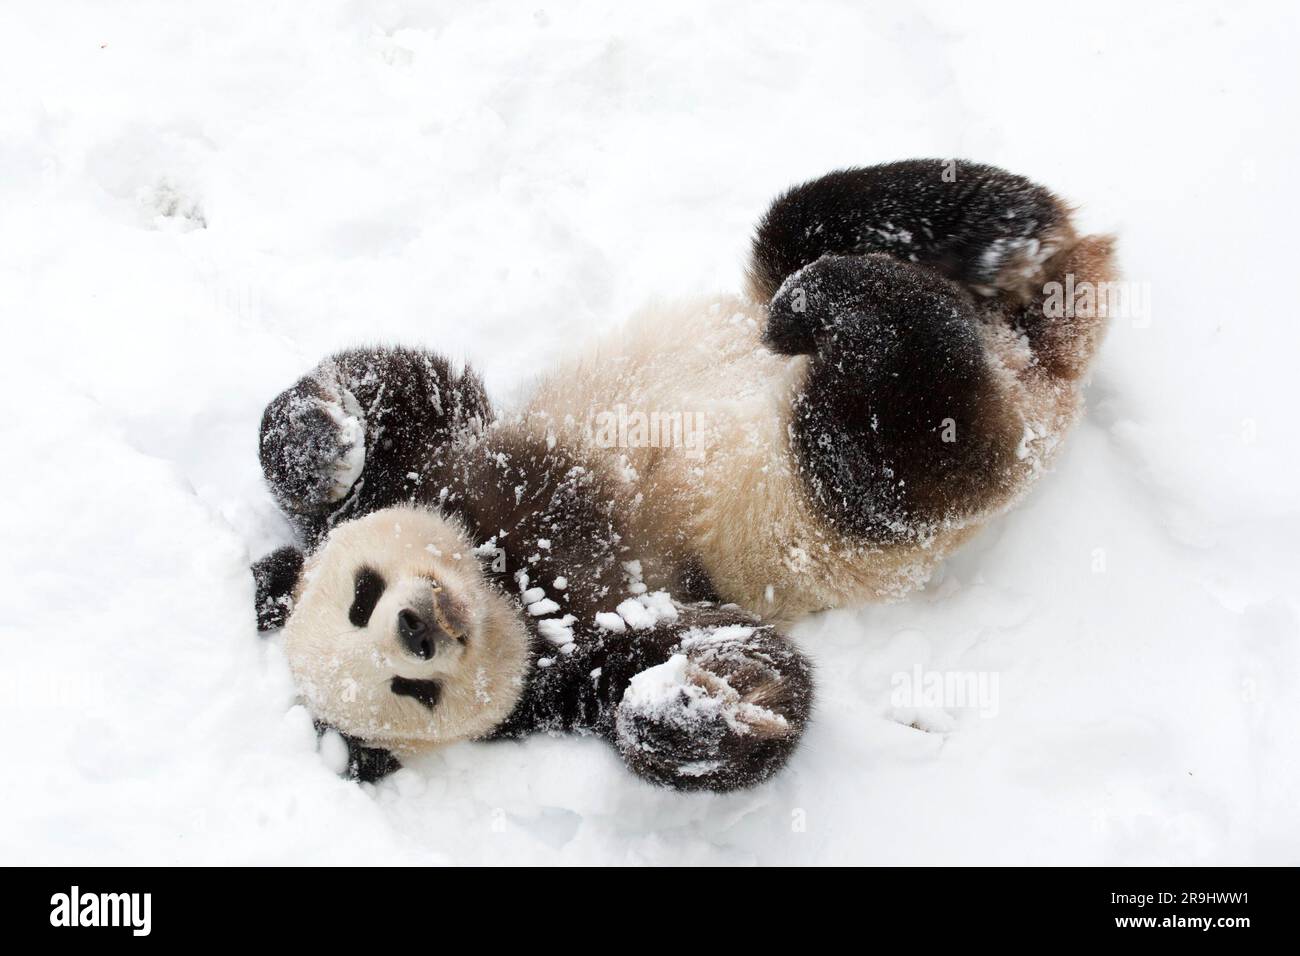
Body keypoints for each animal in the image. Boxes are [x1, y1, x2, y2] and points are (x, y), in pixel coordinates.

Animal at [252, 159, 1114, 791]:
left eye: (362, 596)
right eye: (411, 691)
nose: (418, 629)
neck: (508, 574)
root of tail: (1035, 359)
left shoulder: (447, 464)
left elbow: (403, 389)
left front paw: (320, 442)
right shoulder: (579, 653)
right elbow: (741, 665)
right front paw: (688, 708)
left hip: (815, 296)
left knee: (812, 223)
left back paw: (985, 243)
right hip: (857, 492)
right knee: (897, 433)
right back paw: (875, 303)